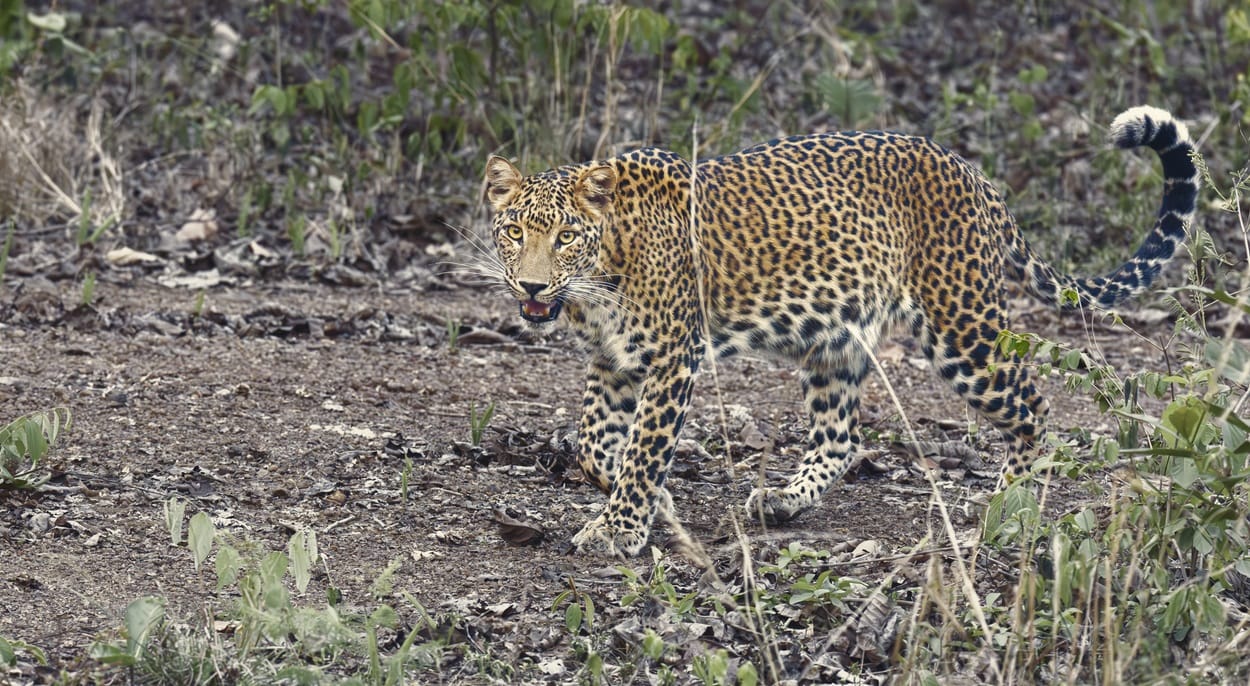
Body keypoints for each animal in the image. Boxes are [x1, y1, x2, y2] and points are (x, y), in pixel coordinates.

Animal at [481, 106, 1199, 557]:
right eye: (513, 231)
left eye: (565, 236)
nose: (532, 287)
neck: (600, 277)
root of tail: (975, 174)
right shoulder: (615, 361)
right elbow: (592, 444)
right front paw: (646, 506)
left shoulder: (670, 360)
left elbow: (641, 450)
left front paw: (621, 527)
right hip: (837, 340)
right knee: (841, 436)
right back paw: (783, 501)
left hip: (961, 328)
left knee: (1034, 405)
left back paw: (1010, 501)